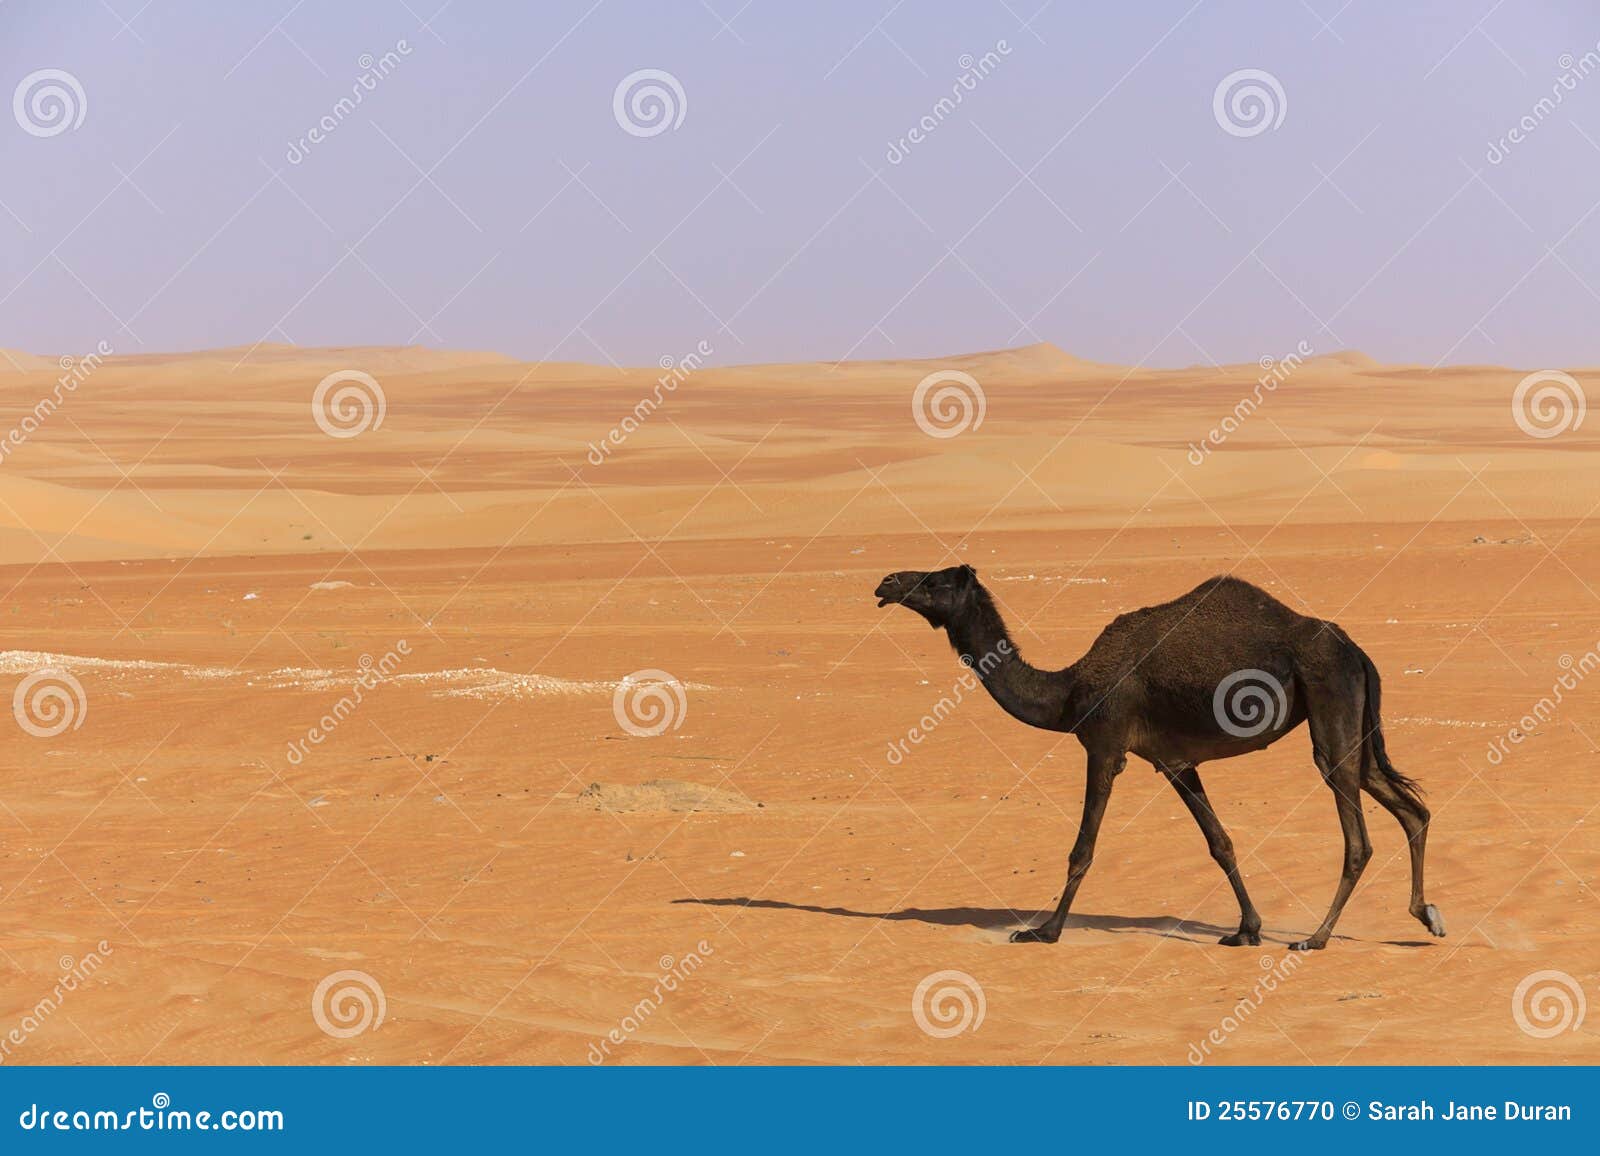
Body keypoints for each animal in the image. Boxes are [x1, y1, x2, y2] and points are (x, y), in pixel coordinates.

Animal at [873, 564, 1444, 951]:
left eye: (935, 582)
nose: (886, 583)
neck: (1069, 689)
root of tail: (1357, 651)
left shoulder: (1105, 744)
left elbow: (1082, 848)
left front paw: (1043, 930)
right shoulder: (1175, 761)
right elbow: (1220, 843)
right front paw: (1246, 930)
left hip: (1331, 704)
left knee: (1356, 833)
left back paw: (1316, 937)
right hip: (1356, 723)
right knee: (1410, 807)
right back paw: (1426, 914)